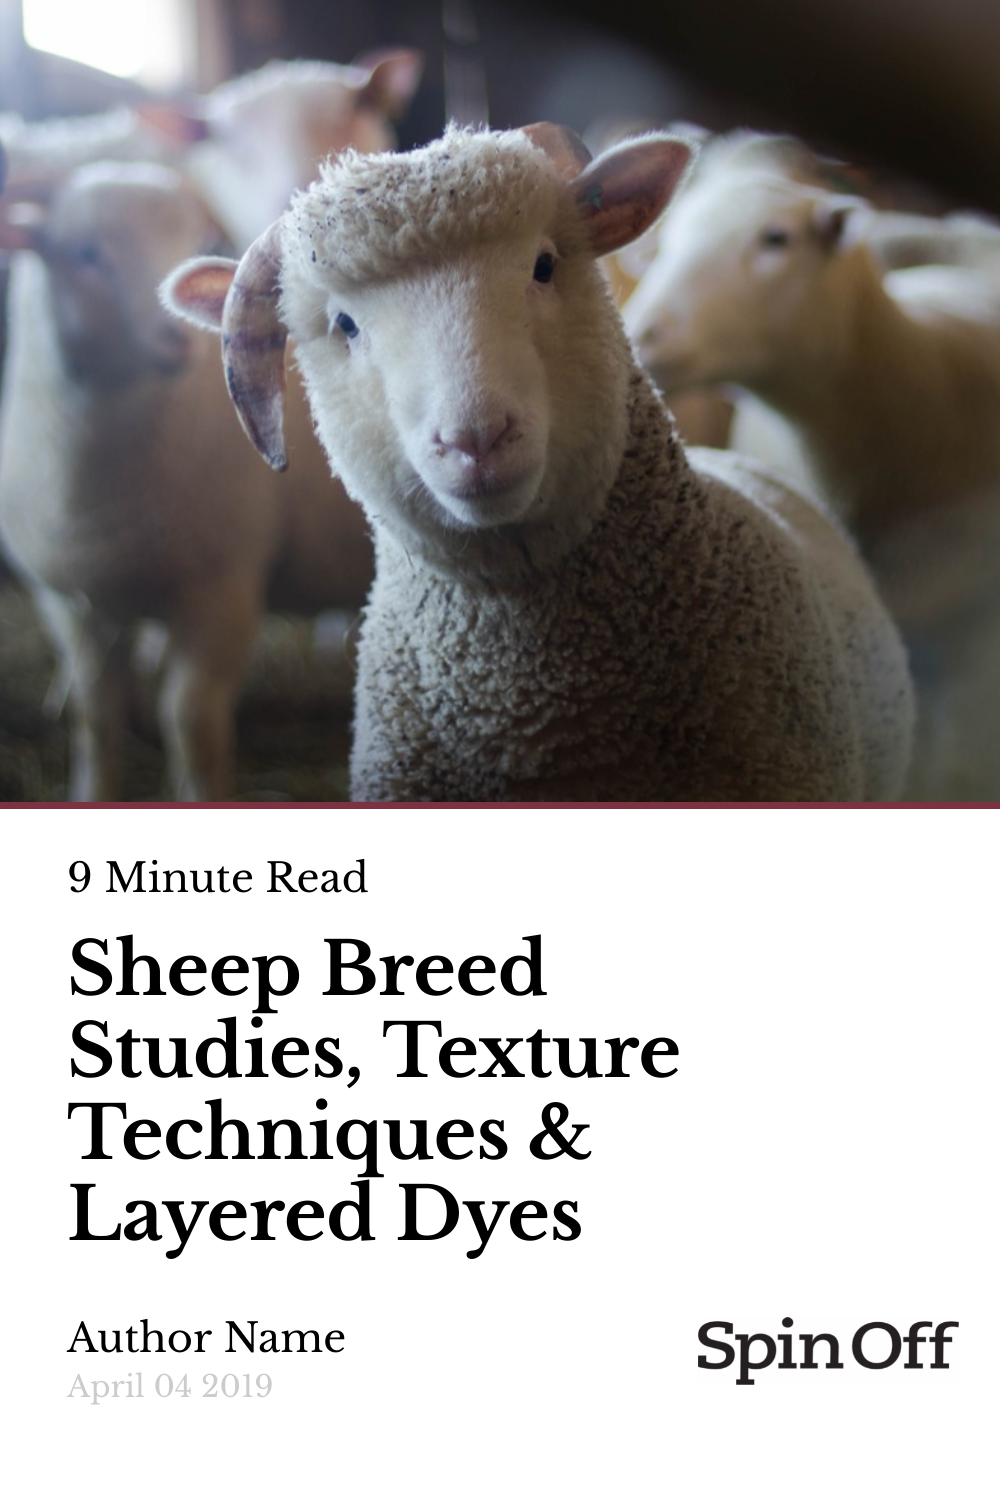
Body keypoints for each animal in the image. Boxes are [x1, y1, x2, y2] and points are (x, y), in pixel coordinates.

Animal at [0, 161, 371, 801]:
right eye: (85, 253)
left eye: (195, 241)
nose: (173, 339)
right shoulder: (71, 603)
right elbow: (94, 716)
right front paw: (92, 794)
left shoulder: (223, 588)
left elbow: (189, 720)